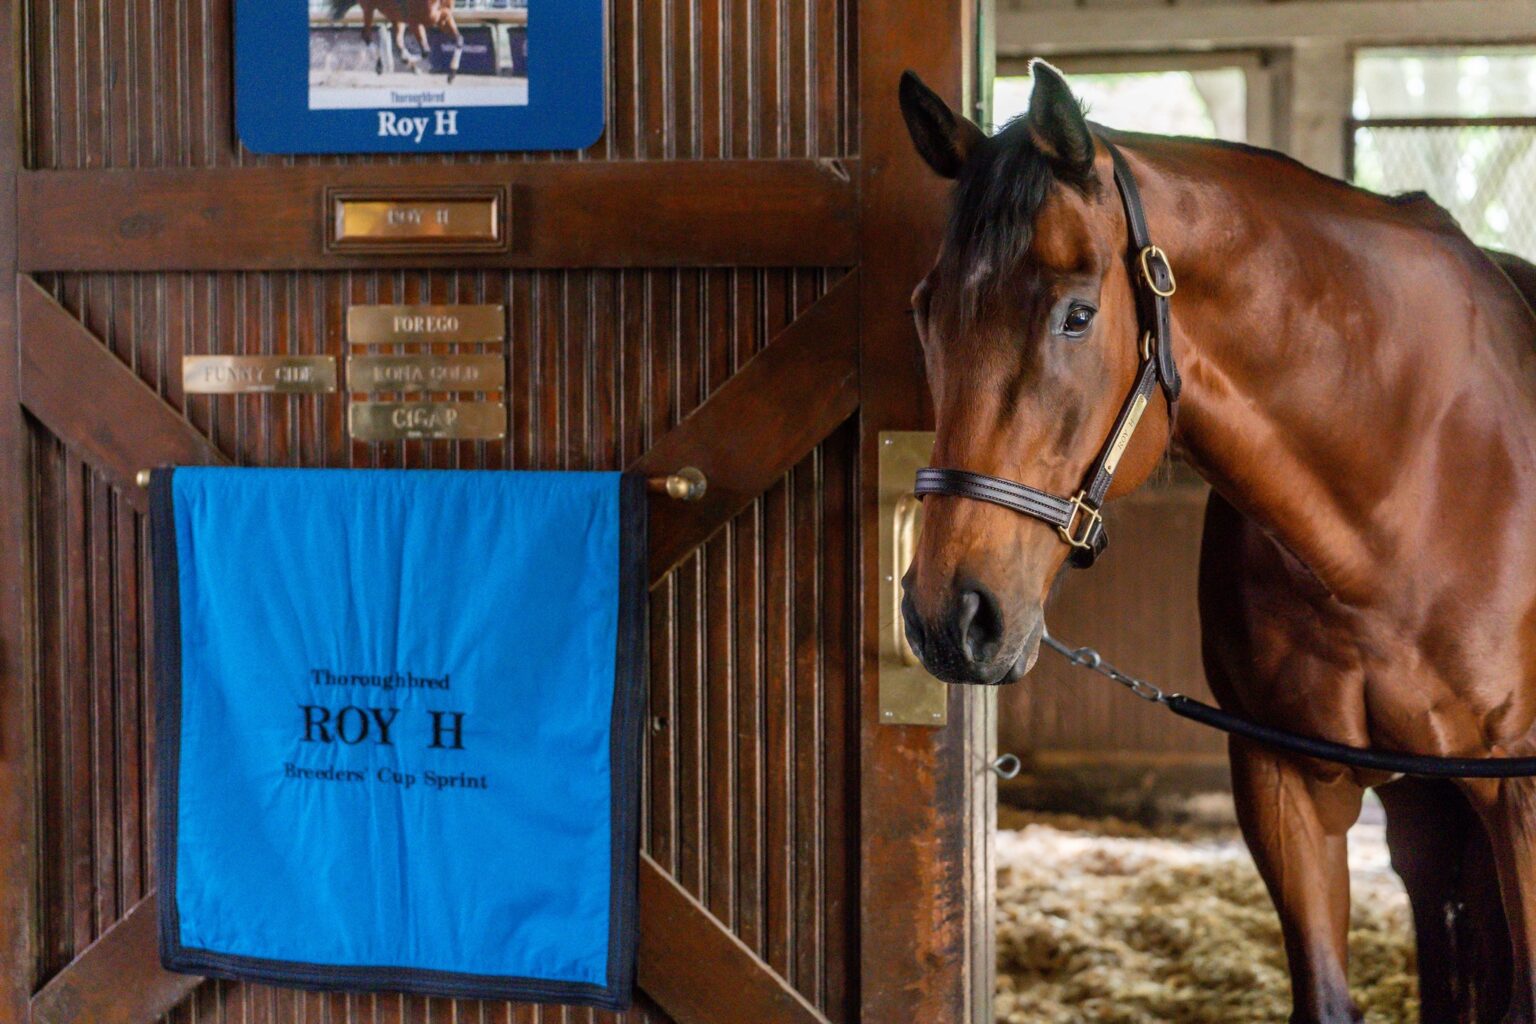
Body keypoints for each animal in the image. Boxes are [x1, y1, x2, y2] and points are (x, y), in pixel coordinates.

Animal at [329, 0, 464, 83]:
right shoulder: (415, 21)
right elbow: (425, 51)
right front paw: (407, 60)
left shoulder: (444, 18)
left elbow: (459, 40)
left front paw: (452, 74)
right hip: (369, 8)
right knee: (366, 35)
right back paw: (380, 66)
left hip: (396, 16)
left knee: (398, 42)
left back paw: (414, 68)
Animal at [896, 61, 1536, 1024]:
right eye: (925, 309)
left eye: (1077, 315)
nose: (948, 615)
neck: (1413, 478)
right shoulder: (1283, 784)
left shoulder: (1524, 796)